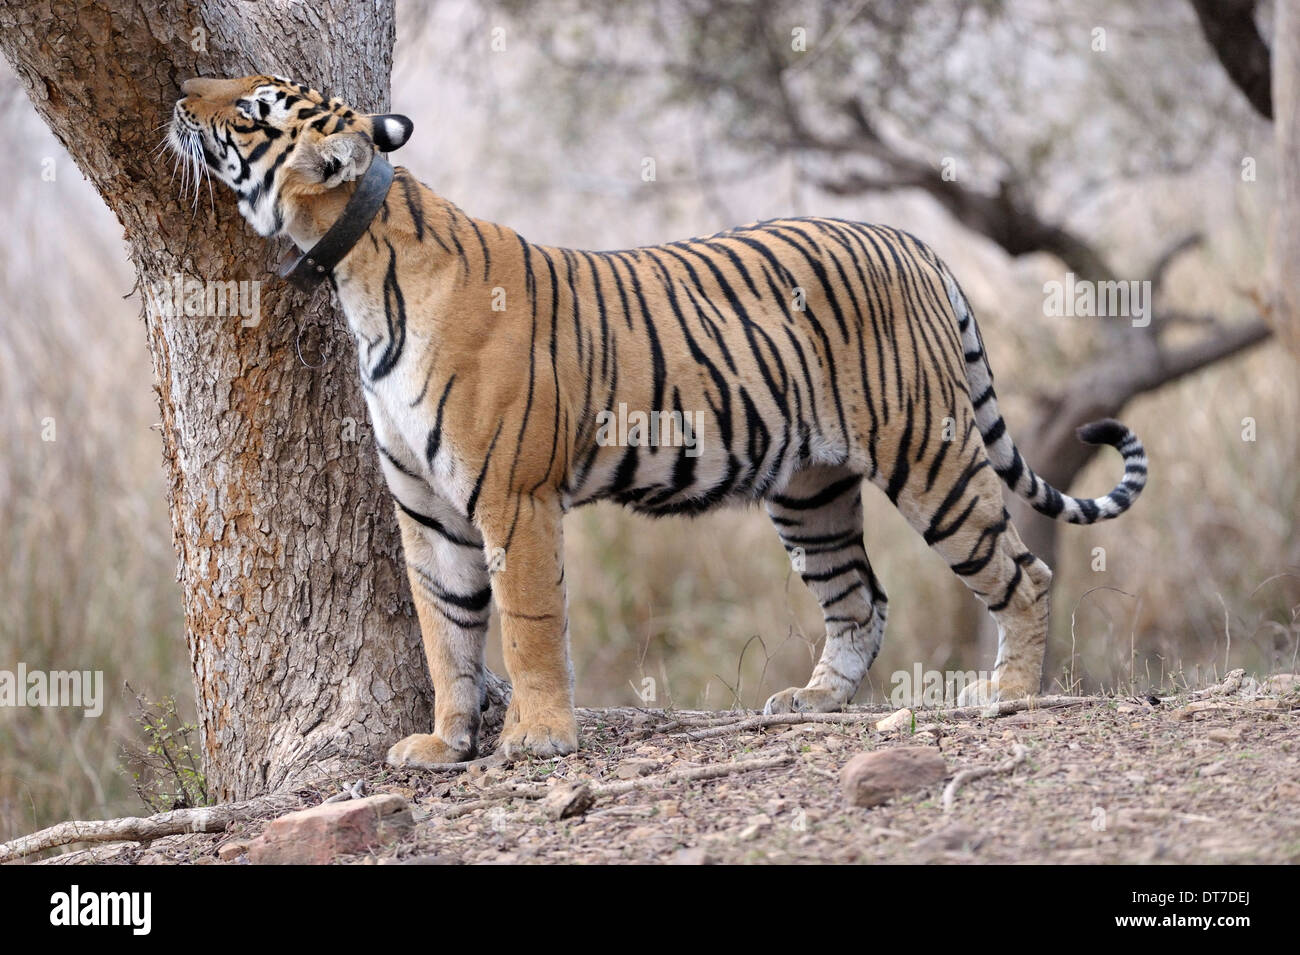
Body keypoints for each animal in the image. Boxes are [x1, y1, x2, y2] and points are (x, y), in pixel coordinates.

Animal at [169, 75, 1147, 763]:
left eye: (250, 107)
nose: (179, 91)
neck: (356, 269)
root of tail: (912, 241)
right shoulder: (427, 507)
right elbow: (445, 630)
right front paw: (444, 743)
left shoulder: (513, 496)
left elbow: (526, 622)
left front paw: (539, 737)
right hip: (809, 489)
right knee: (859, 598)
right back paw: (813, 702)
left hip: (928, 455)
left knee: (1022, 570)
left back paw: (1008, 690)